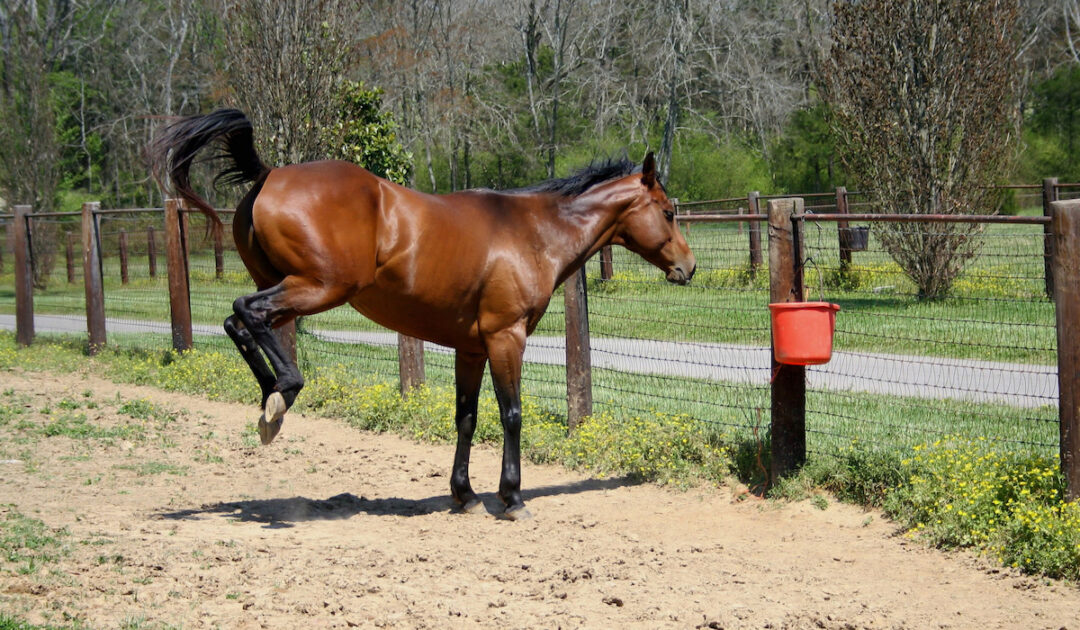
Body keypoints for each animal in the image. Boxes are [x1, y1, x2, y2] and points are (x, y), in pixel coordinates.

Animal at [152, 109, 695, 520]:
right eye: (668, 212)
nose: (688, 268)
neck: (534, 231)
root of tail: (269, 174)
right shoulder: (506, 337)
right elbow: (512, 414)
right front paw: (512, 497)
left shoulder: (471, 348)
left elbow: (466, 417)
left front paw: (465, 495)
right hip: (319, 288)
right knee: (248, 312)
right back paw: (283, 391)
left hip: (291, 285)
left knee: (237, 320)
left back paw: (270, 402)